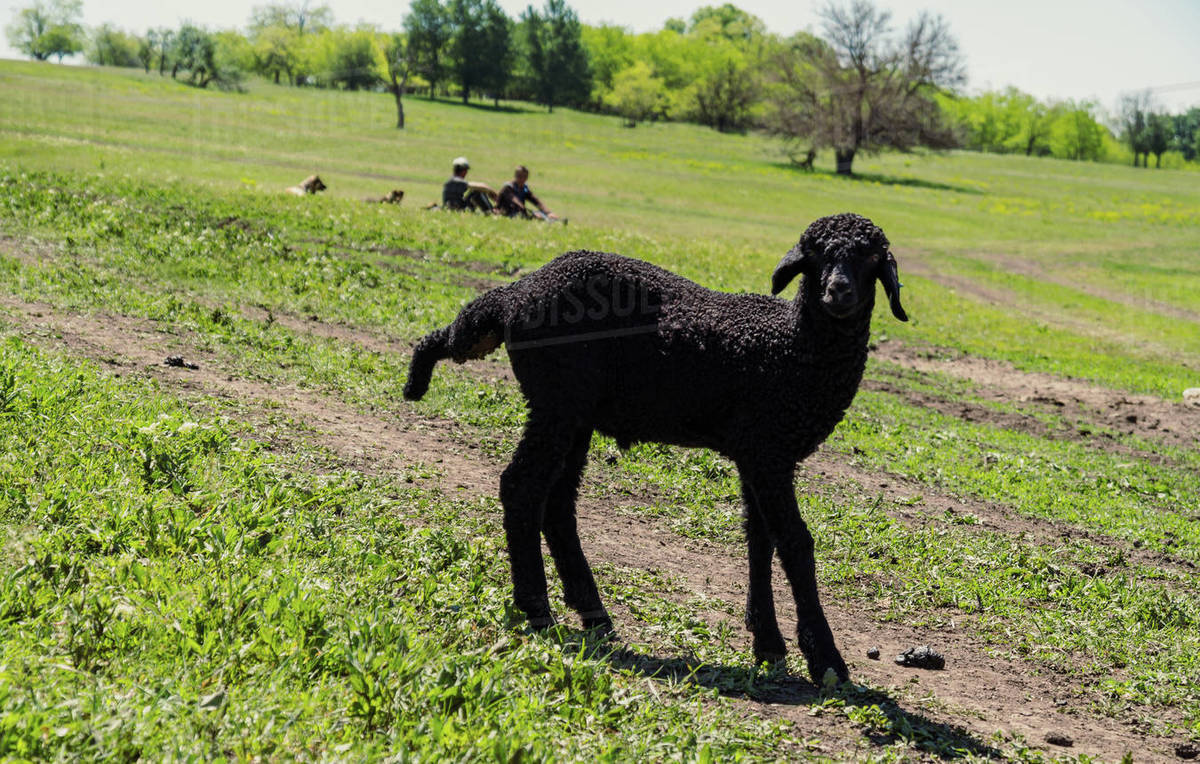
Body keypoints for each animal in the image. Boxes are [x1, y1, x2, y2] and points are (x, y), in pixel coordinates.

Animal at [404, 213, 908, 685]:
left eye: (870, 258)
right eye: (815, 256)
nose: (838, 292)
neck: (791, 346)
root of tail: (515, 293)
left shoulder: (757, 451)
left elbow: (759, 539)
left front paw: (767, 642)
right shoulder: (768, 451)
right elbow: (796, 543)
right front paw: (825, 659)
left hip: (574, 412)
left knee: (558, 504)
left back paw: (592, 612)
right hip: (556, 400)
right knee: (522, 487)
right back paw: (537, 608)